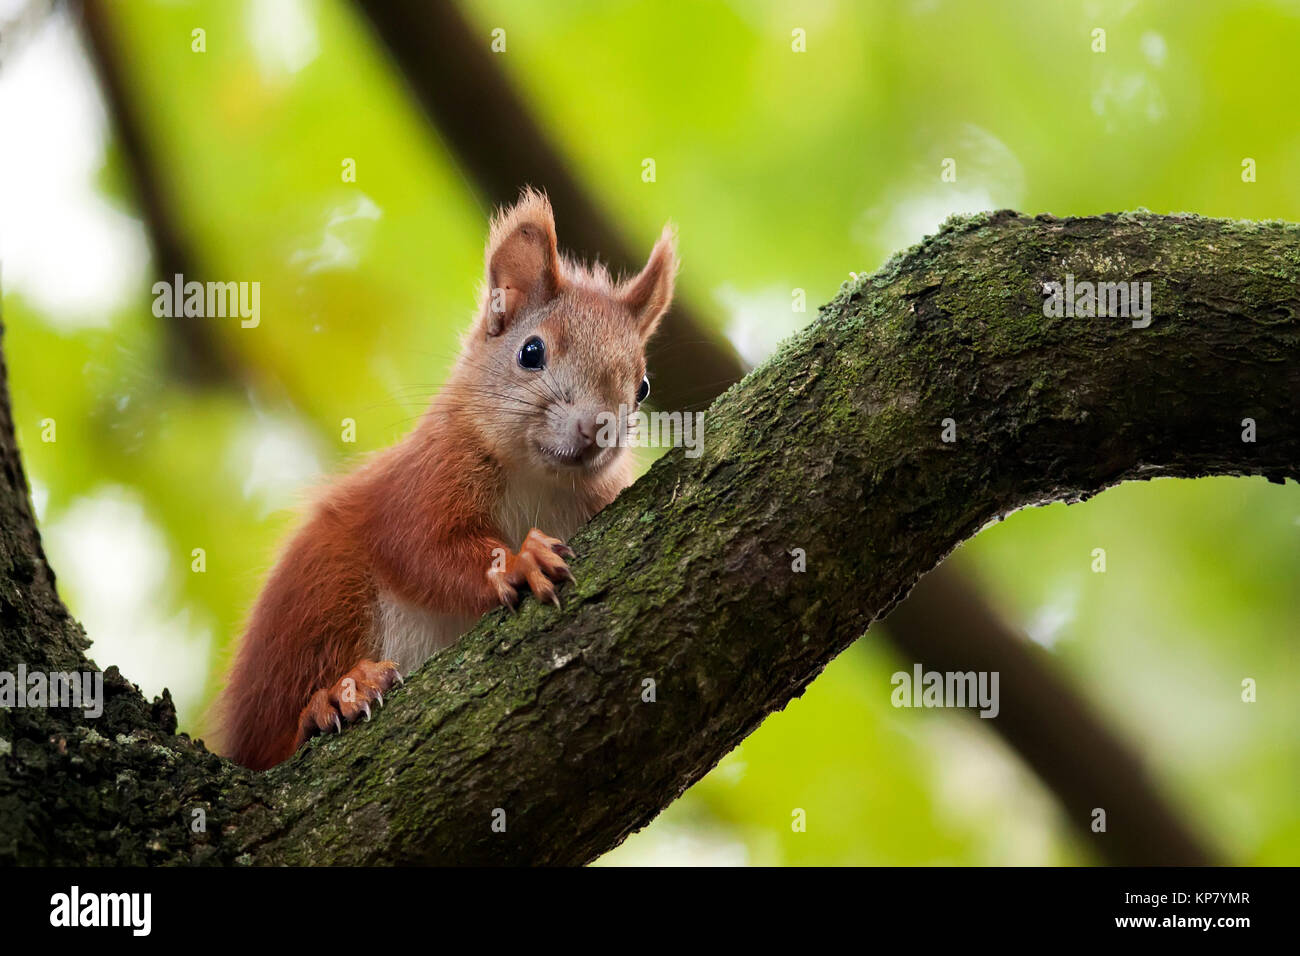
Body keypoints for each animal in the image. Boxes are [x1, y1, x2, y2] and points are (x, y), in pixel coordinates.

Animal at [218, 189, 676, 769]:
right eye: (531, 352)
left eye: (642, 388)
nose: (598, 429)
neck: (537, 477)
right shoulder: (426, 478)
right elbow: (423, 549)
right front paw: (521, 560)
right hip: (320, 600)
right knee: (275, 734)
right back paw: (331, 701)